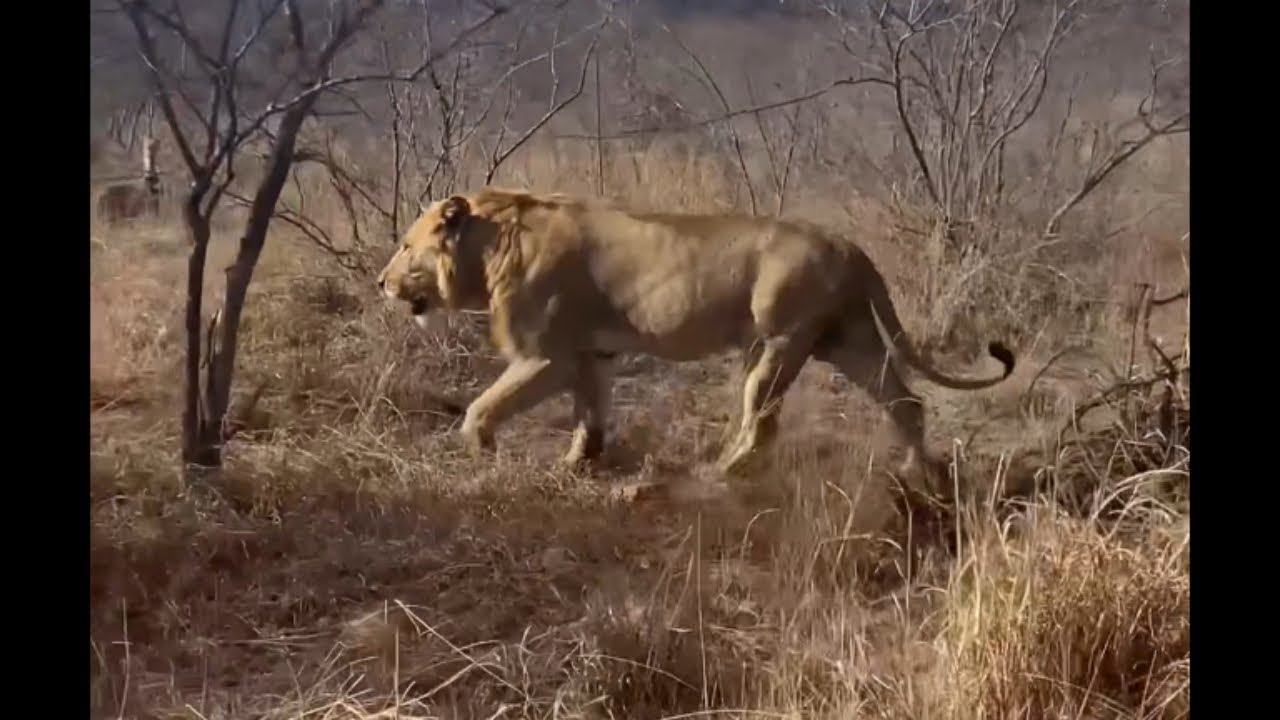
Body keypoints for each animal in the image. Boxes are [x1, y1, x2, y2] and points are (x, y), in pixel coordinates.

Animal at [376, 187, 1016, 488]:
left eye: (407, 246)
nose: (381, 281)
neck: (489, 247)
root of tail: (850, 246)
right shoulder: (590, 352)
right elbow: (590, 414)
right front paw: (579, 463)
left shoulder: (545, 355)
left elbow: (482, 407)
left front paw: (482, 454)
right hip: (849, 341)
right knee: (906, 401)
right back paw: (919, 473)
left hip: (778, 344)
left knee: (763, 425)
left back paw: (722, 472)